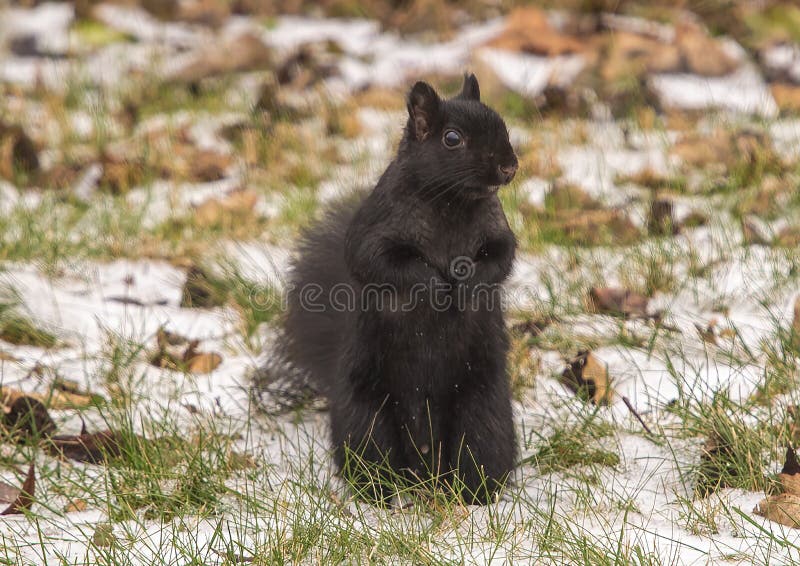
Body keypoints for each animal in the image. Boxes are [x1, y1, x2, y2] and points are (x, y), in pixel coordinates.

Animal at [281, 74, 519, 504]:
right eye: (452, 138)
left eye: (502, 123)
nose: (509, 166)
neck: (450, 203)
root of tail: (424, 466)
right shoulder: (376, 229)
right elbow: (381, 262)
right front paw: (437, 286)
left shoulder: (497, 231)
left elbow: (500, 258)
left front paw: (466, 284)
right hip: (365, 417)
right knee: (372, 460)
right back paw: (381, 496)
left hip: (484, 417)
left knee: (478, 456)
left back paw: (471, 495)